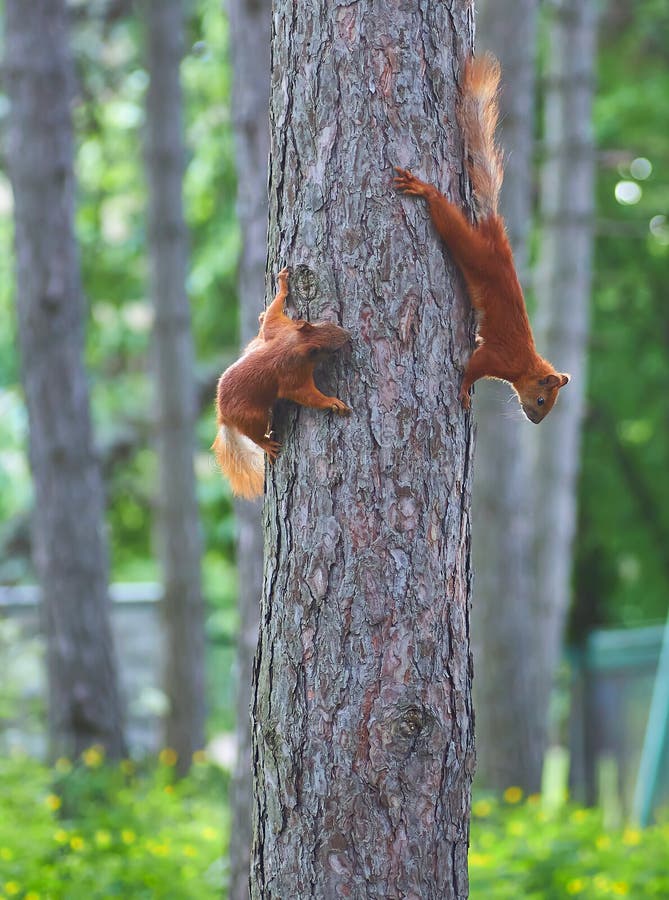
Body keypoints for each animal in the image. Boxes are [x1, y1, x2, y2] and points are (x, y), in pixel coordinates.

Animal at [213, 266, 351, 499]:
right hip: (251, 415)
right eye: (329, 349)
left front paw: (283, 284)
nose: (348, 335)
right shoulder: (292, 377)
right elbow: (305, 395)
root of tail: (222, 415)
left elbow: (272, 314)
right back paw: (267, 444)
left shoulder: (279, 329)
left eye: (326, 324)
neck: (292, 345)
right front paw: (331, 402)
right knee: (254, 434)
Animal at [394, 53, 570, 423]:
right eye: (542, 400)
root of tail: (496, 236)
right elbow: (473, 368)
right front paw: (463, 391)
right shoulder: (498, 358)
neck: (526, 364)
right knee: (448, 220)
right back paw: (425, 191)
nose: (535, 420)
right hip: (472, 249)